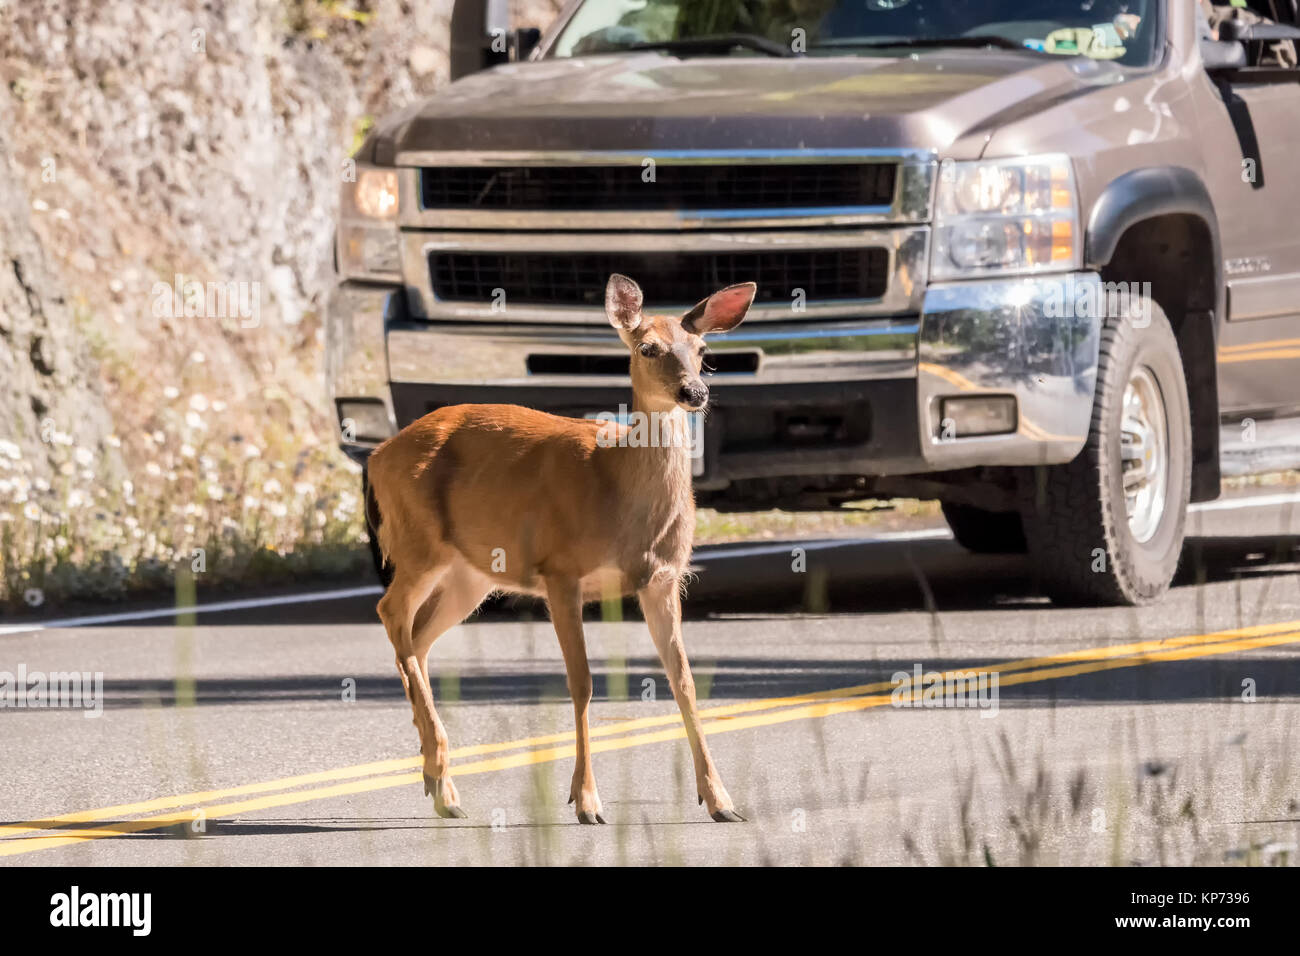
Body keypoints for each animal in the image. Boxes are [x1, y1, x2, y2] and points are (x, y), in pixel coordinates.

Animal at [364, 274, 754, 825]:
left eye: (703, 351)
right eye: (647, 348)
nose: (694, 392)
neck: (616, 489)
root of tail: (377, 455)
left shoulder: (662, 579)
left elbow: (685, 681)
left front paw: (721, 801)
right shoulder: (560, 571)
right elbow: (583, 682)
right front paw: (586, 801)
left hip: (472, 574)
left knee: (417, 640)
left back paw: (439, 785)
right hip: (419, 541)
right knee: (391, 611)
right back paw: (441, 775)